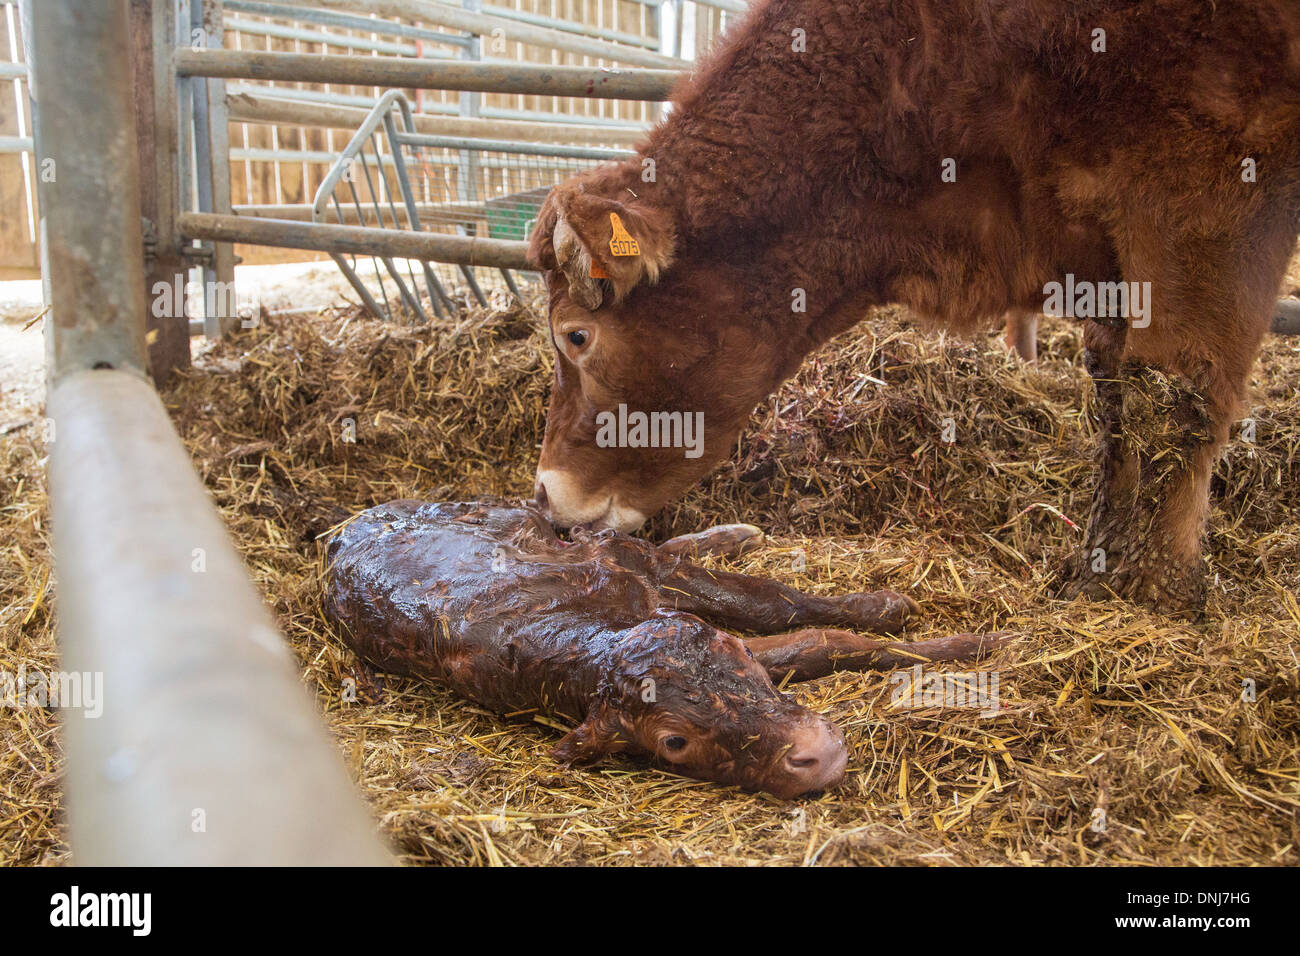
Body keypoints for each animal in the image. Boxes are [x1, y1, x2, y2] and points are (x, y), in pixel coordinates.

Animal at [527, 0, 1300, 613]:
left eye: (576, 336)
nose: (542, 493)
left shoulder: (1201, 196)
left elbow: (1173, 397)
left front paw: (1152, 586)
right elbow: (1115, 399)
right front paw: (1098, 565)